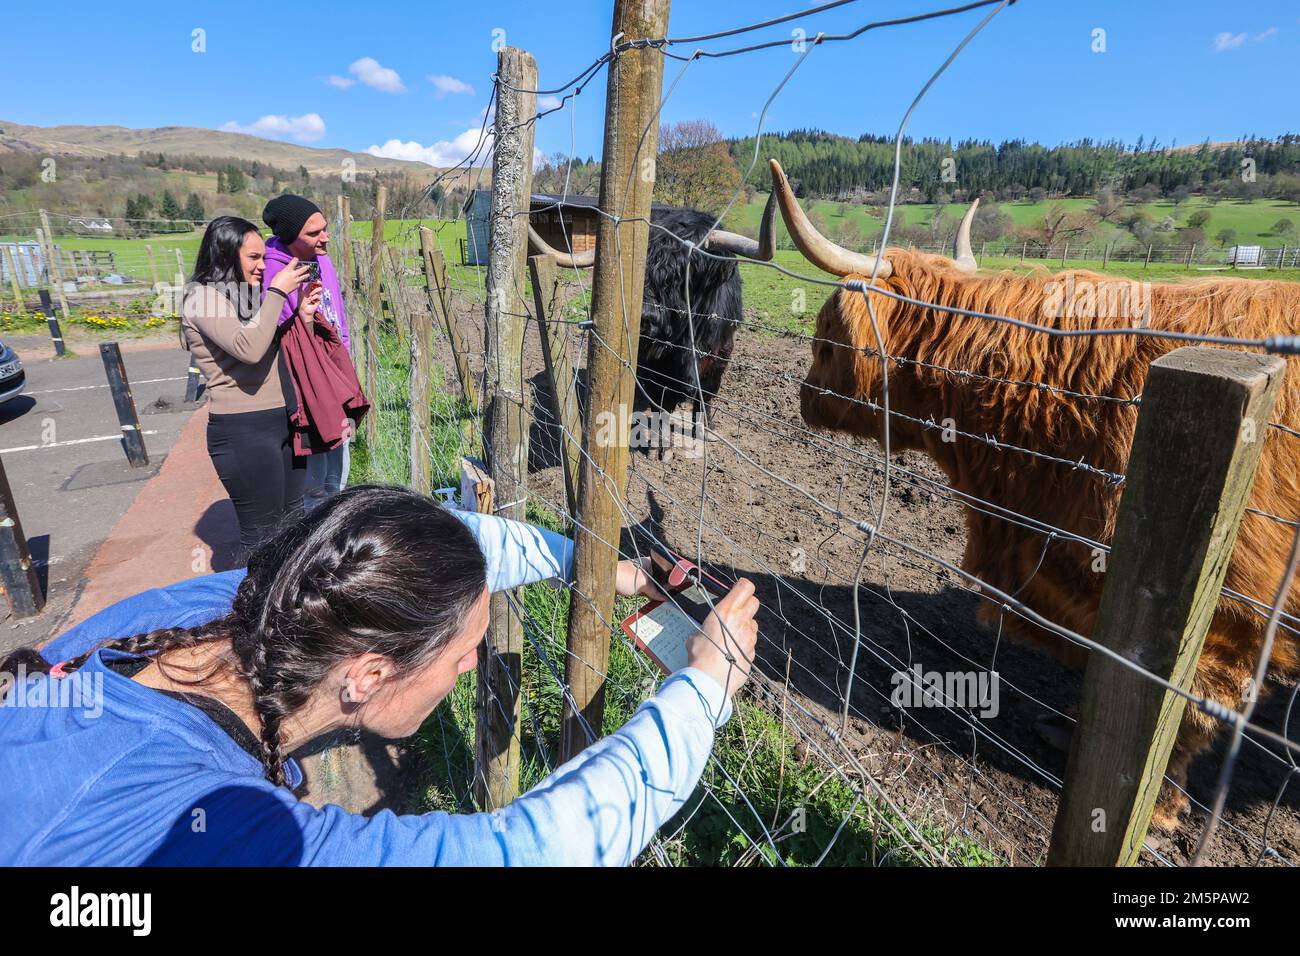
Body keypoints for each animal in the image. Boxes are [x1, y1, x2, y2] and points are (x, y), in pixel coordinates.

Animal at [527, 194, 775, 448]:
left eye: (682, 275)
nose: (644, 319)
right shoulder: (655, 370)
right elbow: (661, 404)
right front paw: (661, 442)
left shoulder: (718, 361)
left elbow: (705, 397)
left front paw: (706, 430)